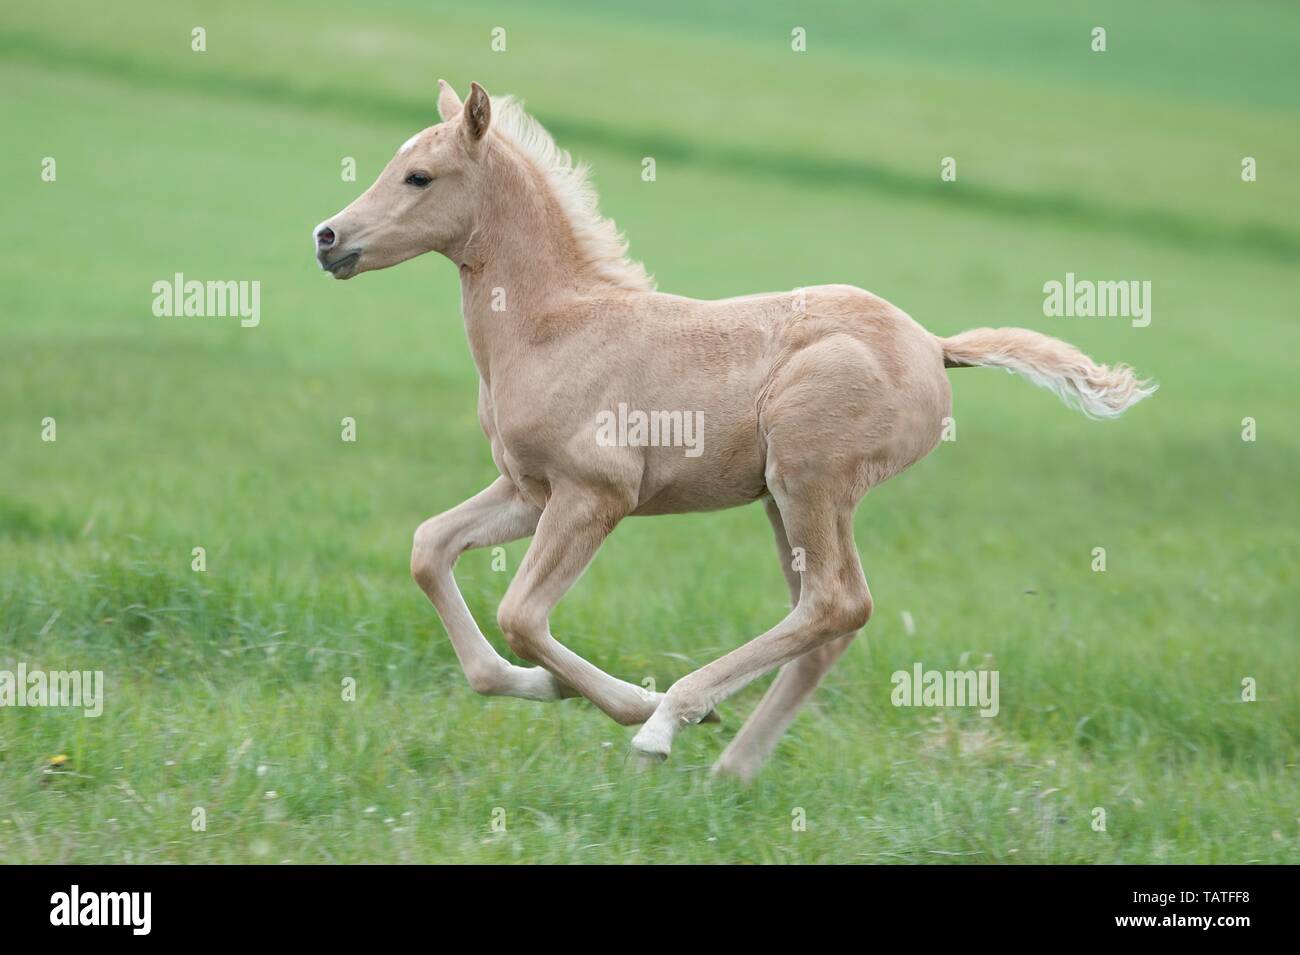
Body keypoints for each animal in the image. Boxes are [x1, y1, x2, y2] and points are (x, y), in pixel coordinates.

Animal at [313, 81, 1154, 780]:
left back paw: (672, 720)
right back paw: (733, 770)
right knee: (834, 618)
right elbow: (430, 549)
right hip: (786, 501)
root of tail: (934, 345)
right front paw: (543, 685)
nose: (327, 237)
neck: (556, 323)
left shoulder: (595, 494)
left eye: (420, 177)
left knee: (833, 604)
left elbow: (520, 612)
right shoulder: (528, 490)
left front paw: (623, 702)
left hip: (808, 479)